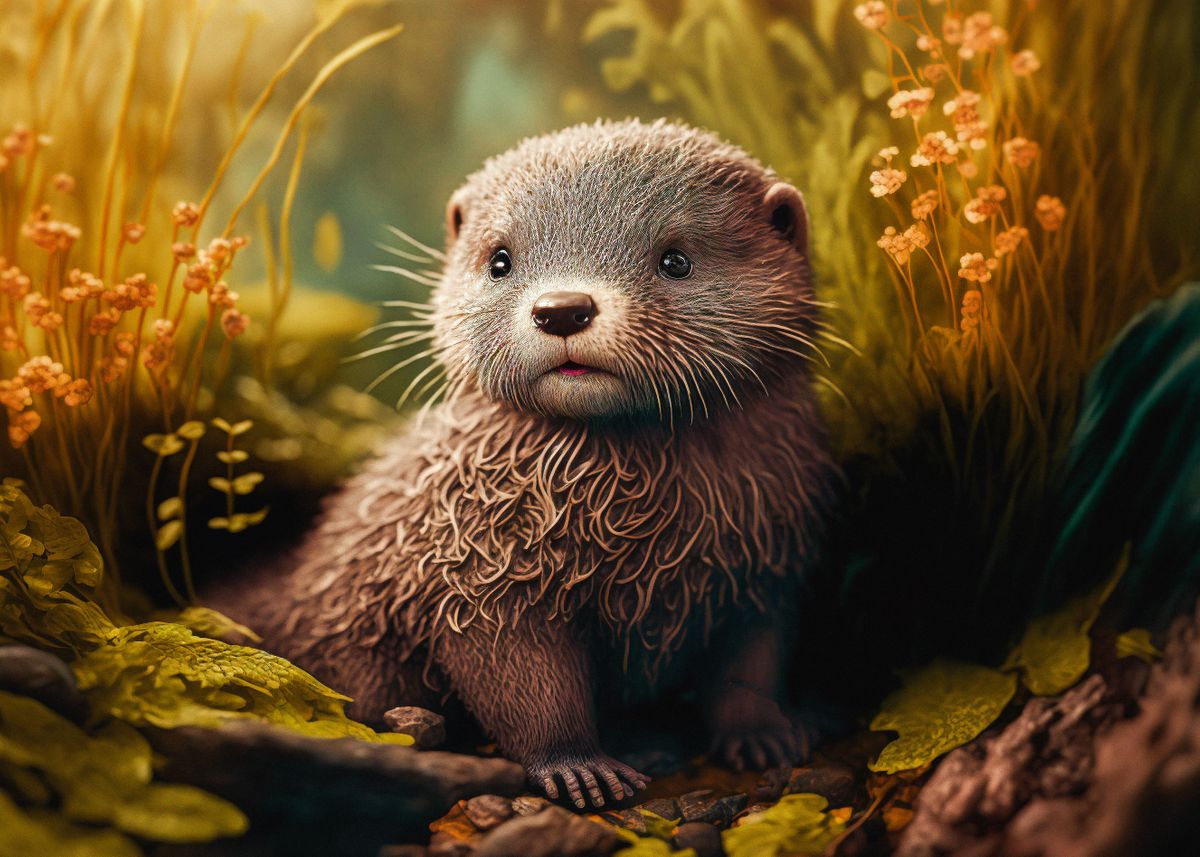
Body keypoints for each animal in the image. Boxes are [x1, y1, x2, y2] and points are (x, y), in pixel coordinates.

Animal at [211, 119, 839, 809]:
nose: (562, 308)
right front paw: (578, 767)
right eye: (500, 260)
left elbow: (751, 669)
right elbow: (528, 690)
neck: (647, 531)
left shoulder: (768, 565)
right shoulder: (479, 574)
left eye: (676, 259)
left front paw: (766, 737)